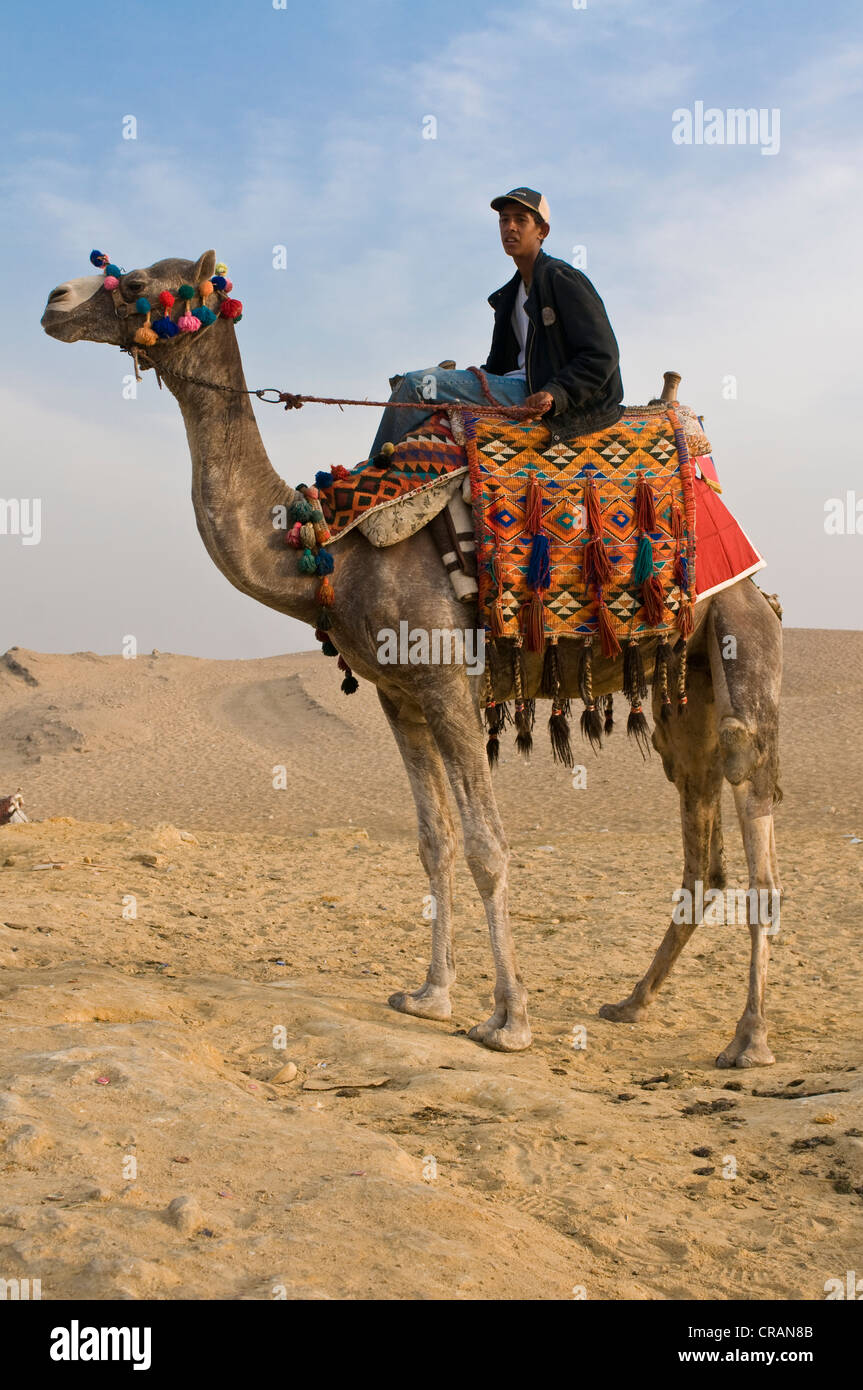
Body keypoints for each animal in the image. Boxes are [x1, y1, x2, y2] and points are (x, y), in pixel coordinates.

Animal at [41, 250, 783, 1066]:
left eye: (139, 282)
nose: (52, 299)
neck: (330, 548)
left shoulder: (444, 678)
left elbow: (488, 846)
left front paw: (508, 1020)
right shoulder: (399, 695)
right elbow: (435, 842)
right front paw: (429, 995)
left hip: (740, 639)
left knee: (750, 807)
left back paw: (749, 1036)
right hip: (685, 685)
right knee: (700, 833)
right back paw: (630, 1002)